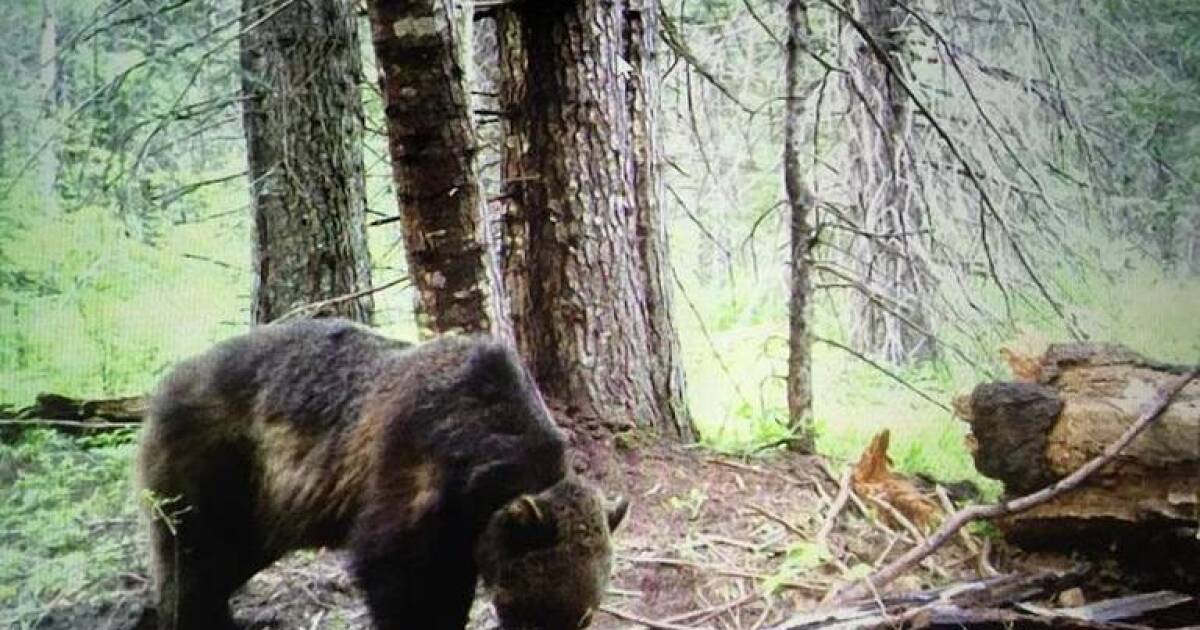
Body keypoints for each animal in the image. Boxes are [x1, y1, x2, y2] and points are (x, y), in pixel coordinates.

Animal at [136, 318, 627, 630]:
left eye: (584, 615)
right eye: (537, 611)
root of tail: (163, 386)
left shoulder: (461, 526)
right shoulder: (409, 468)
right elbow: (396, 574)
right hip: (216, 467)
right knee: (192, 562)